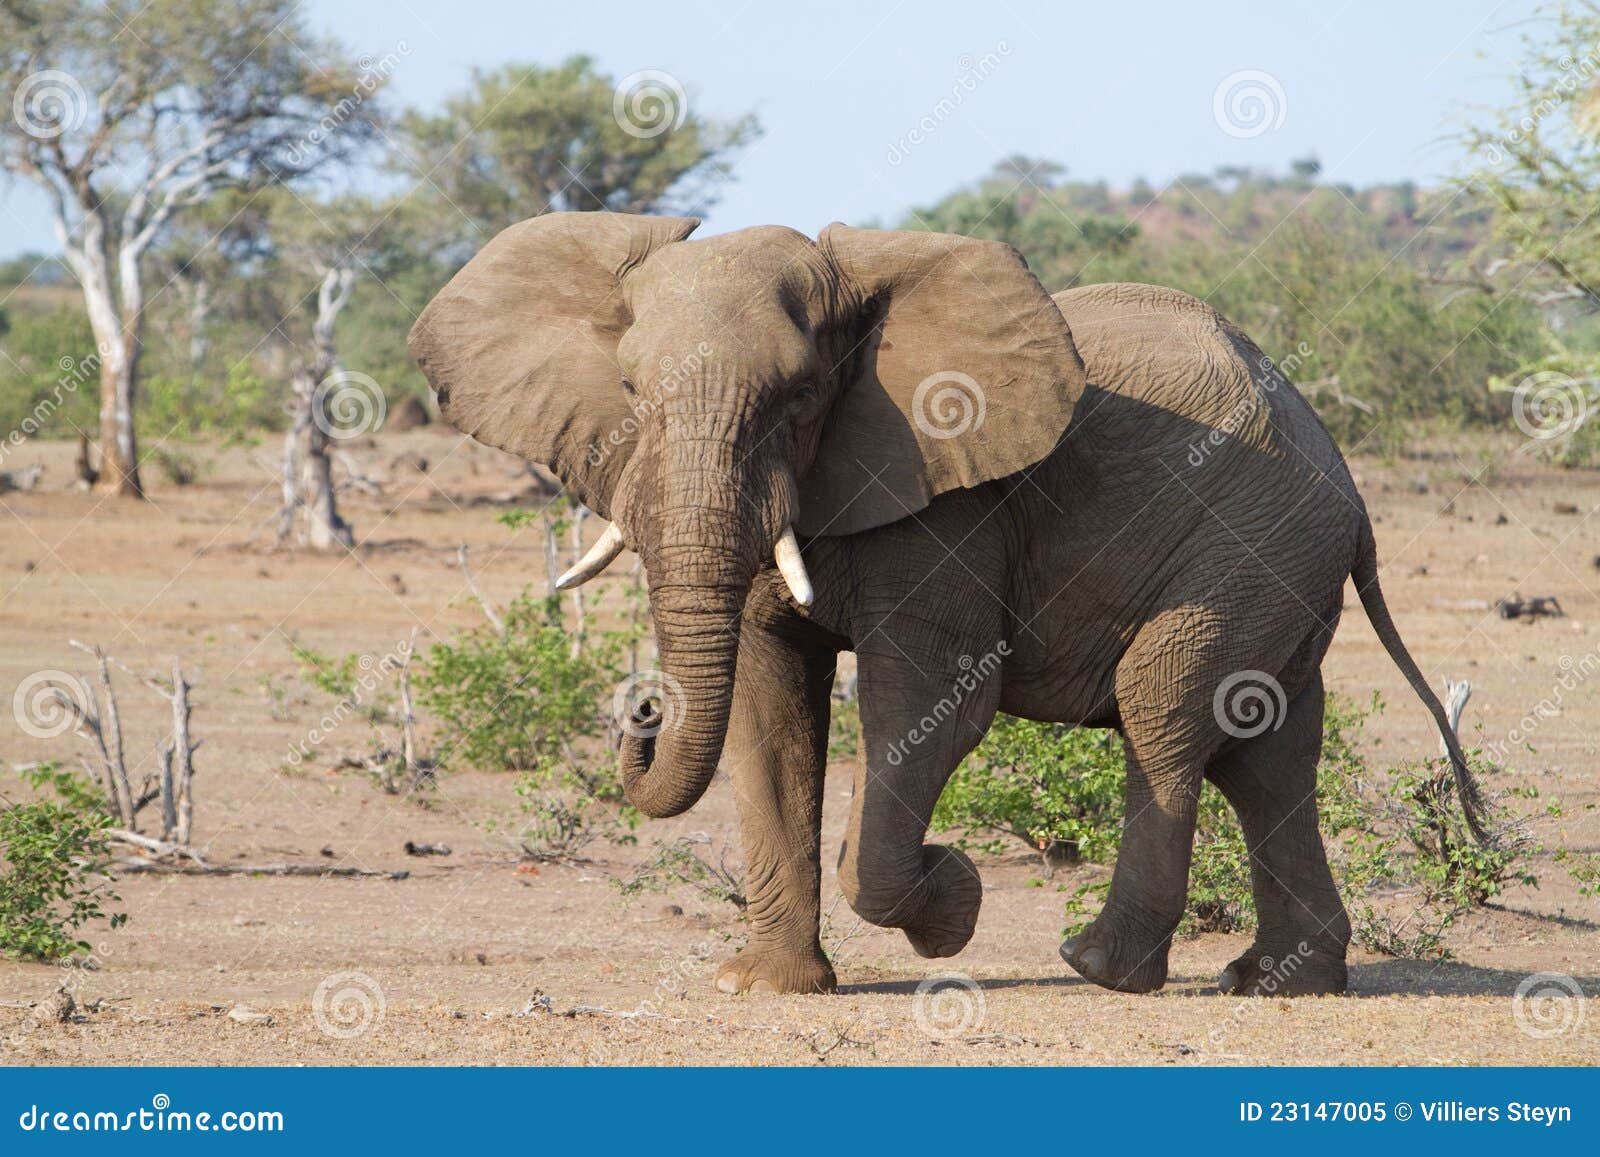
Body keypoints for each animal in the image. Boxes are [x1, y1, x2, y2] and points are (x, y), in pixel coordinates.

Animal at [408, 211, 1490, 997]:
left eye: (800, 400)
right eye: (629, 393)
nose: (638, 710)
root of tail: (1348, 491)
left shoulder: (951, 494)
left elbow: (934, 699)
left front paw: (951, 901)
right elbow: (769, 702)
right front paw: (764, 986)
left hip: (1250, 547)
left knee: (1168, 706)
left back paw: (1099, 967)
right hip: (1281, 562)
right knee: (1267, 752)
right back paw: (1276, 981)